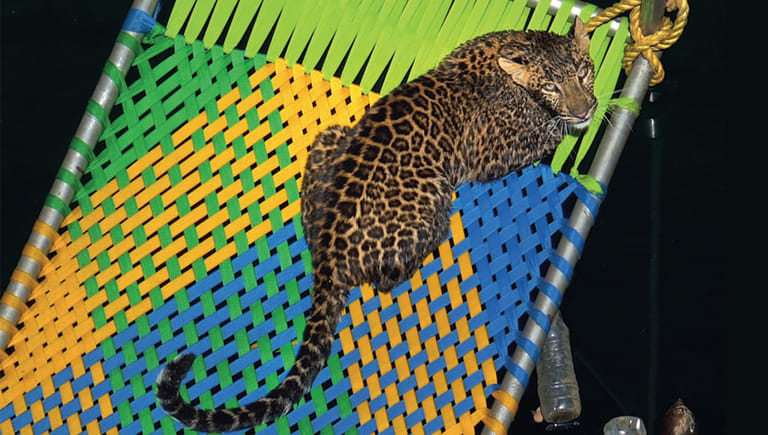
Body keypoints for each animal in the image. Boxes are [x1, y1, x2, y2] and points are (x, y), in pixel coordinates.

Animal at [156, 18, 597, 433]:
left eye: (584, 71)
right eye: (552, 87)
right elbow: (545, 136)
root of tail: (330, 253)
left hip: (331, 140)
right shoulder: (494, 153)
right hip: (434, 203)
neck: (515, 53)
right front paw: (564, 126)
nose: (585, 110)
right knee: (386, 278)